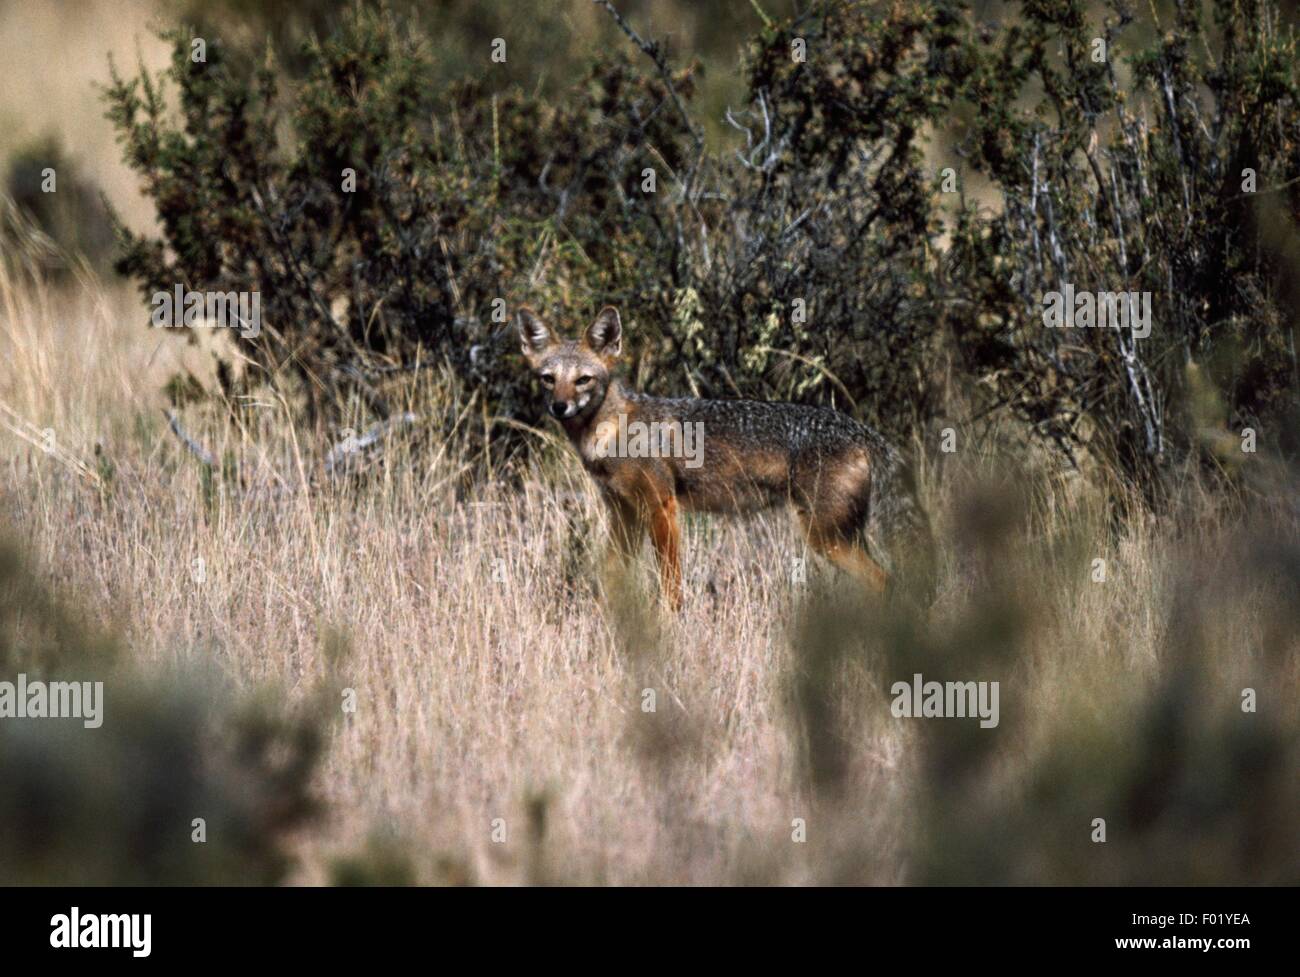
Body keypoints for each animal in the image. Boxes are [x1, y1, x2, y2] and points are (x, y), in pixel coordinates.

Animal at [517, 305, 936, 611]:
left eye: (583, 380)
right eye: (548, 379)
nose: (559, 407)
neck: (612, 432)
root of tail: (864, 431)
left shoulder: (662, 508)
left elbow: (671, 584)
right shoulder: (624, 514)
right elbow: (610, 576)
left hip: (825, 538)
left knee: (884, 581)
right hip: (842, 535)